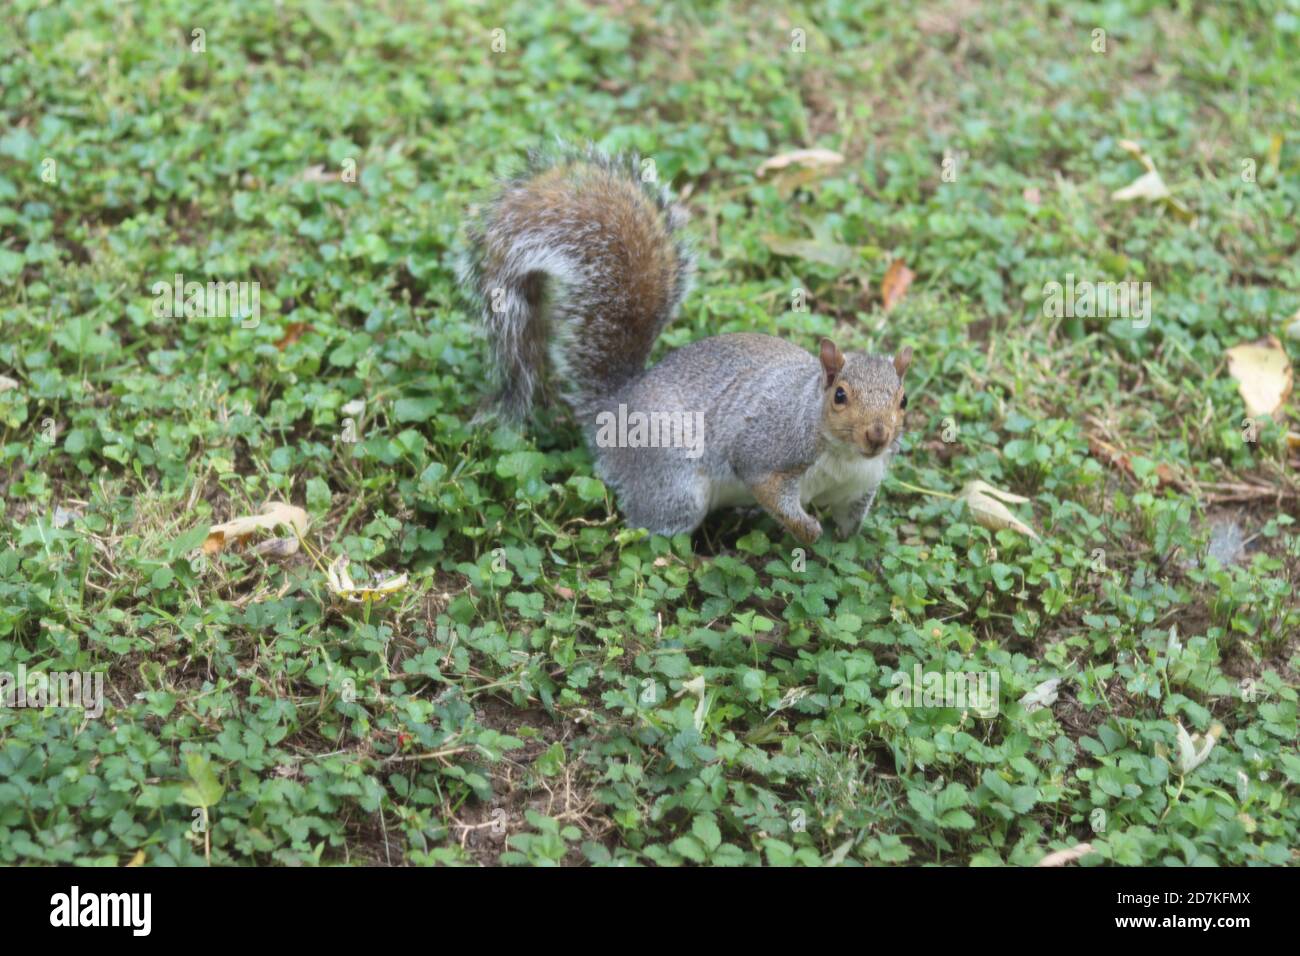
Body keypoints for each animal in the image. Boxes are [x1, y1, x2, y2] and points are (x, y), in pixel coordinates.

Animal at [459, 144, 912, 545]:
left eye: (903, 400)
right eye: (840, 395)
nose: (878, 436)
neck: (844, 455)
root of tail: (614, 406)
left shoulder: (860, 486)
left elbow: (851, 523)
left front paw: (856, 548)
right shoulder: (770, 452)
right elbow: (769, 489)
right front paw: (807, 531)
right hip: (672, 482)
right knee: (648, 529)